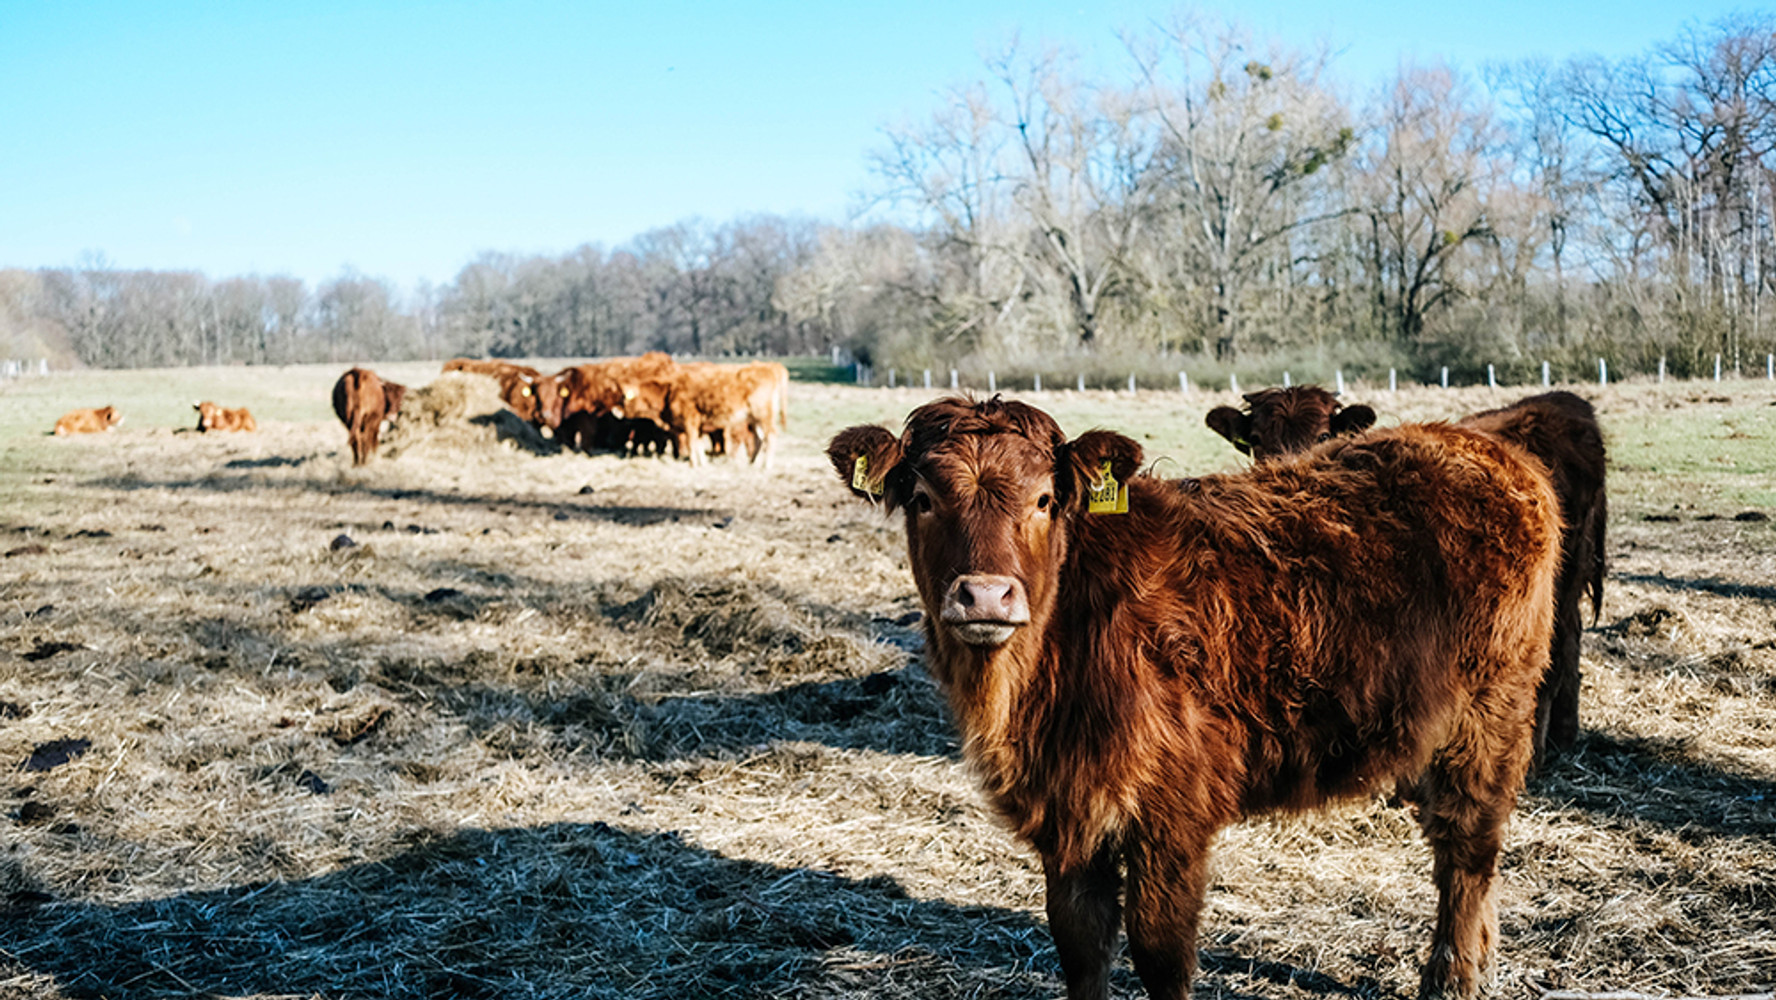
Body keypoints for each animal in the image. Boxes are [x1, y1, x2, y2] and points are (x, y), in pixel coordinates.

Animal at [829, 396, 1560, 1000]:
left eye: (1042, 500)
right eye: (923, 498)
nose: (985, 594)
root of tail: (1478, 445)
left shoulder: (1171, 813)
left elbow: (1161, 953)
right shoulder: (1068, 813)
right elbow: (1081, 945)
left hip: (1491, 715)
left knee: (1467, 847)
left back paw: (1453, 978)